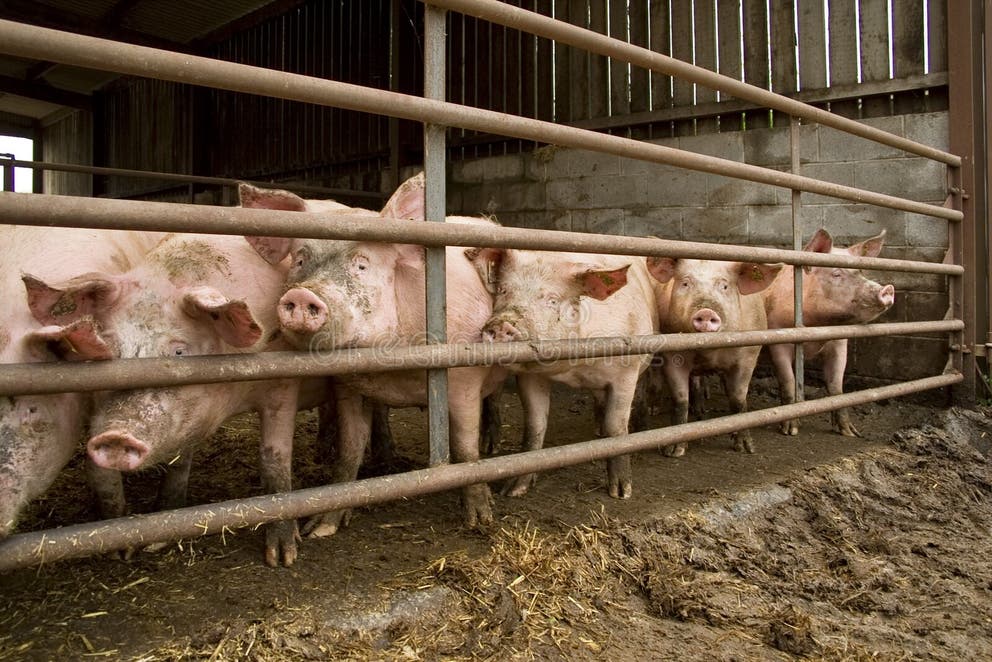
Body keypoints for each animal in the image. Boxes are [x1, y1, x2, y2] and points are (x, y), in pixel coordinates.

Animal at [24, 230, 312, 567]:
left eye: (179, 352)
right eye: (110, 349)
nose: (115, 436)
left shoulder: (282, 381)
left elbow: (274, 459)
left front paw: (282, 557)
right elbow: (180, 461)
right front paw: (150, 540)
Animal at [243, 174, 506, 537]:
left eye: (362, 264)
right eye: (299, 260)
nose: (302, 295)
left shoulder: (463, 375)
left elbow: (466, 448)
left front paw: (481, 520)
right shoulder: (349, 385)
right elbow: (350, 448)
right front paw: (320, 529)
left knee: (492, 402)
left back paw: (492, 447)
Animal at [466, 248, 659, 499]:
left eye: (552, 300)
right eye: (503, 290)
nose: (501, 324)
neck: (575, 367)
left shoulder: (625, 371)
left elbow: (616, 427)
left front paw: (621, 493)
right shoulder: (531, 377)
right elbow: (535, 426)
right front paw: (513, 491)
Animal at [647, 257, 784, 457]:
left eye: (725, 286)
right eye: (685, 283)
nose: (706, 312)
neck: (709, 352)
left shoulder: (748, 356)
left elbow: (738, 399)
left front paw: (745, 448)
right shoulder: (672, 356)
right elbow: (680, 399)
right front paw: (673, 451)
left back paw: (700, 411)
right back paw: (655, 410)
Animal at [761, 228, 895, 436]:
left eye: (861, 271)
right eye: (836, 273)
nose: (887, 289)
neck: (815, 325)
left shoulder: (839, 343)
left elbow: (836, 386)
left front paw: (849, 432)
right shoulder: (777, 338)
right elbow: (788, 380)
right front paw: (790, 431)